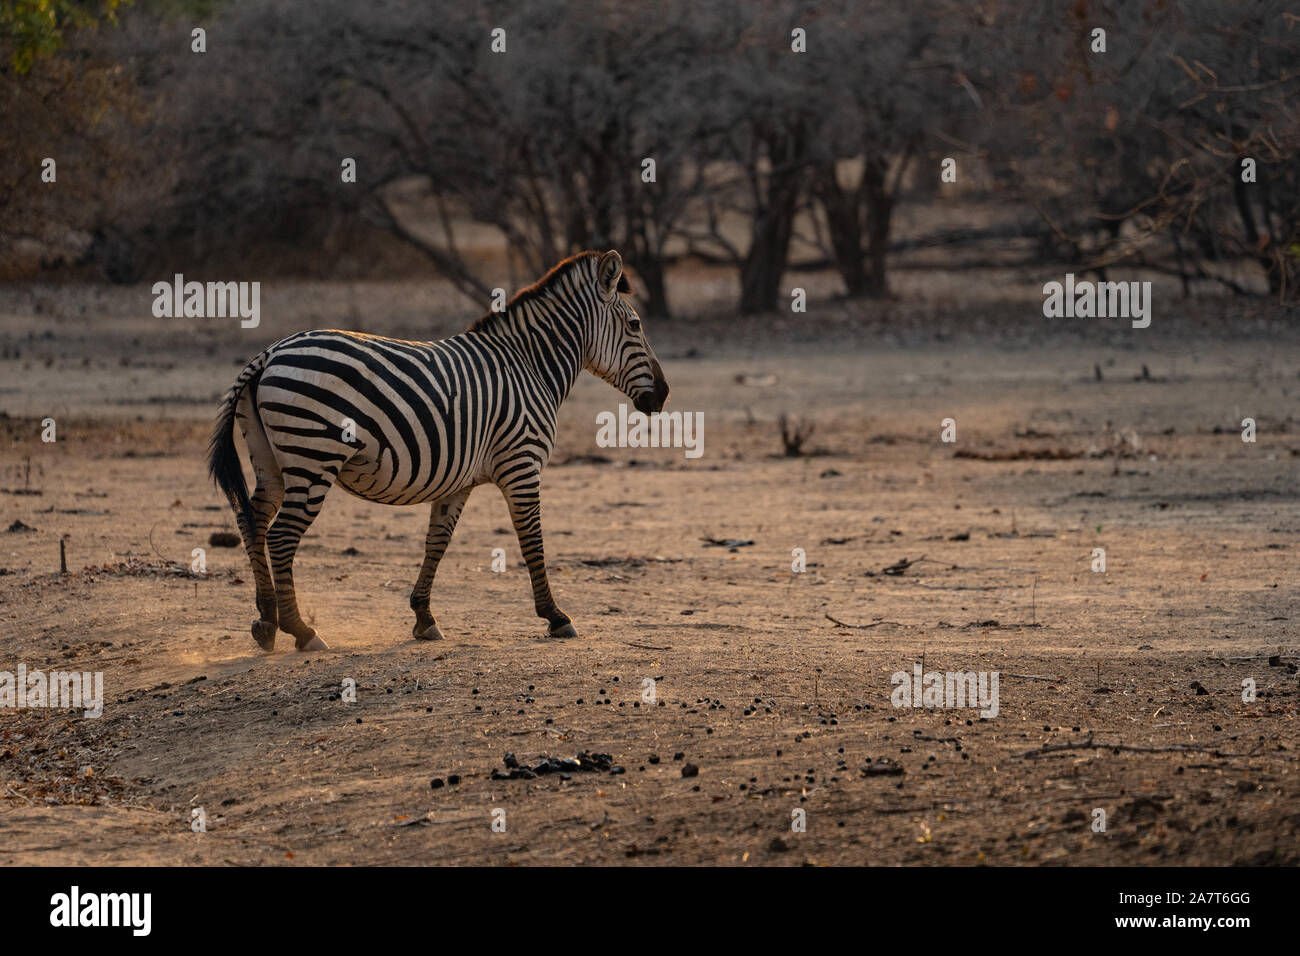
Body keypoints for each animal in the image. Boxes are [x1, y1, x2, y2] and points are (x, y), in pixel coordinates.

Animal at [207, 250, 669, 651]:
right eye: (635, 325)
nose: (663, 395)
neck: (529, 366)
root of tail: (270, 352)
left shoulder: (457, 480)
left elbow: (437, 542)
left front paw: (424, 618)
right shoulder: (522, 463)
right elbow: (532, 540)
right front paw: (556, 617)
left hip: (270, 460)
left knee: (252, 521)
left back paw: (266, 622)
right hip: (312, 457)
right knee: (282, 535)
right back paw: (301, 630)